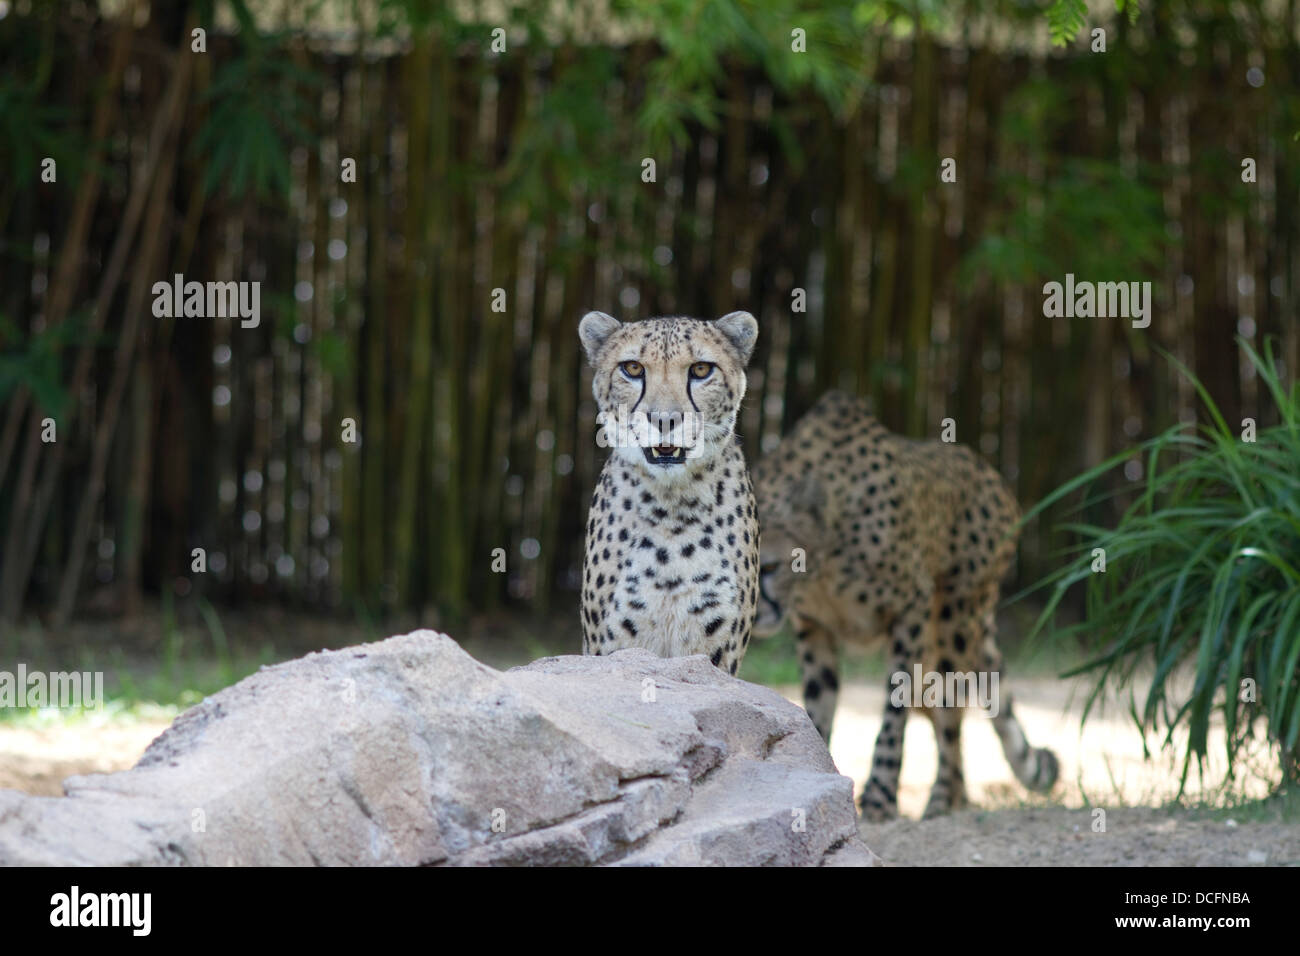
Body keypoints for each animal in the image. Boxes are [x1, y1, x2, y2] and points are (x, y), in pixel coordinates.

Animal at [578, 310, 760, 676]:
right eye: (632, 368)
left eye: (701, 370)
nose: (665, 420)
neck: (672, 508)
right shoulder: (612, 647)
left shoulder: (717, 654)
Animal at [751, 390, 1059, 820]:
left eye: (770, 566)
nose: (756, 611)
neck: (823, 564)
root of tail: (990, 472)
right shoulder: (815, 628)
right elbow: (818, 706)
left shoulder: (911, 608)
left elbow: (893, 713)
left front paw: (879, 797)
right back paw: (957, 797)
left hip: (951, 624)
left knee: (950, 711)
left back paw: (941, 800)